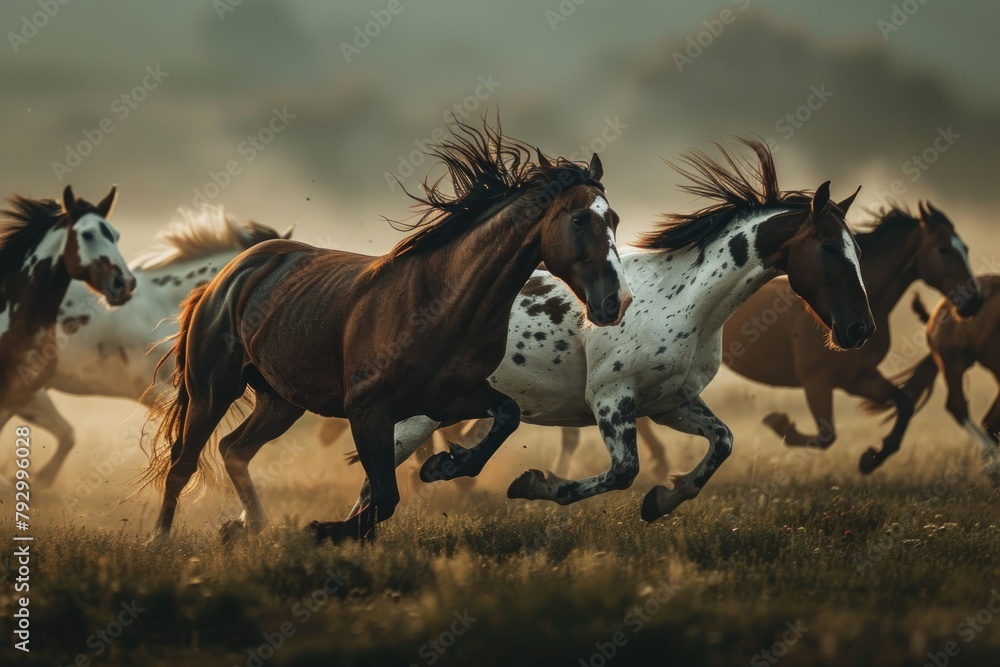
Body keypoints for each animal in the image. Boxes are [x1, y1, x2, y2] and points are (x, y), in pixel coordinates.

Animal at [145, 119, 632, 542]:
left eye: (615, 219)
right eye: (579, 220)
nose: (617, 301)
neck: (440, 304)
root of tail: (226, 277)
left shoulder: (450, 397)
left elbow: (506, 415)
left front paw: (445, 466)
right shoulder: (367, 409)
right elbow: (383, 496)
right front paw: (326, 531)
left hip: (281, 401)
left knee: (234, 449)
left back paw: (247, 526)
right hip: (213, 390)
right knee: (183, 464)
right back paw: (161, 540)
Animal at [359, 138, 874, 523]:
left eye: (857, 248)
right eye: (830, 248)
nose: (861, 328)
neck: (684, 301)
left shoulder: (669, 403)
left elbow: (723, 441)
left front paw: (664, 499)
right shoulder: (611, 399)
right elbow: (624, 470)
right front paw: (534, 484)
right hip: (415, 417)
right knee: (373, 485)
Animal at [723, 202, 982, 473]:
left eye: (965, 248)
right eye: (943, 249)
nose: (974, 300)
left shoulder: (857, 378)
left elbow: (905, 403)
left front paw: (871, 459)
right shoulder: (817, 382)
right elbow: (826, 437)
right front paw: (778, 422)